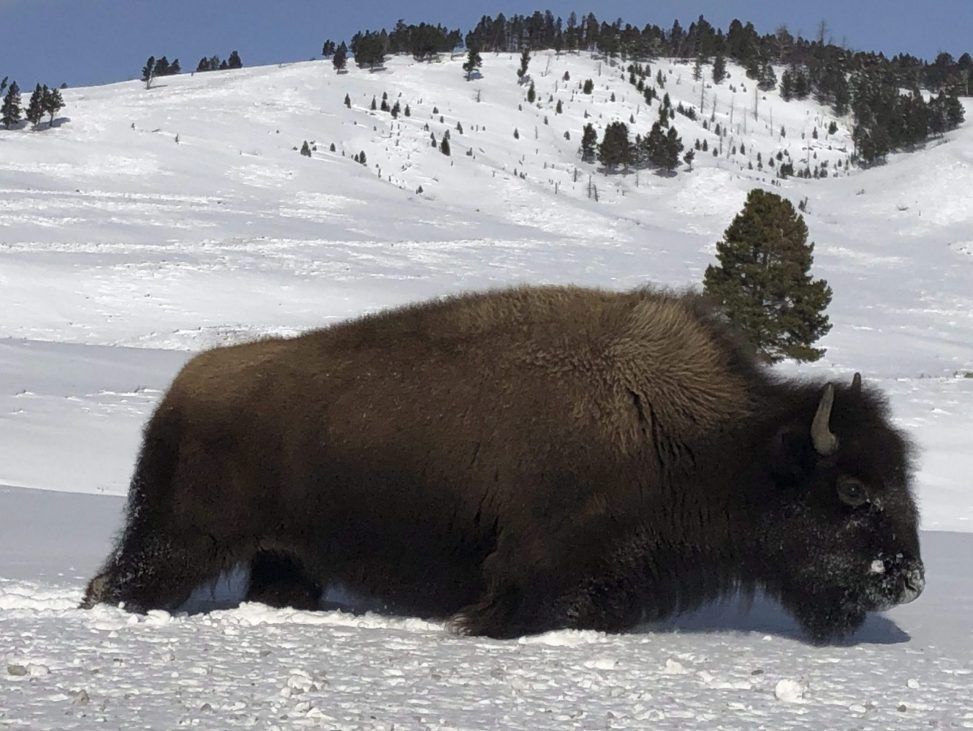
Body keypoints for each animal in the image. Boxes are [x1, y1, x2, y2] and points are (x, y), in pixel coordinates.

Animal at [82, 285, 924, 642]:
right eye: (852, 489)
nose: (909, 581)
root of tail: (185, 385)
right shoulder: (538, 564)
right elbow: (509, 610)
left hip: (286, 554)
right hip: (180, 538)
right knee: (121, 581)